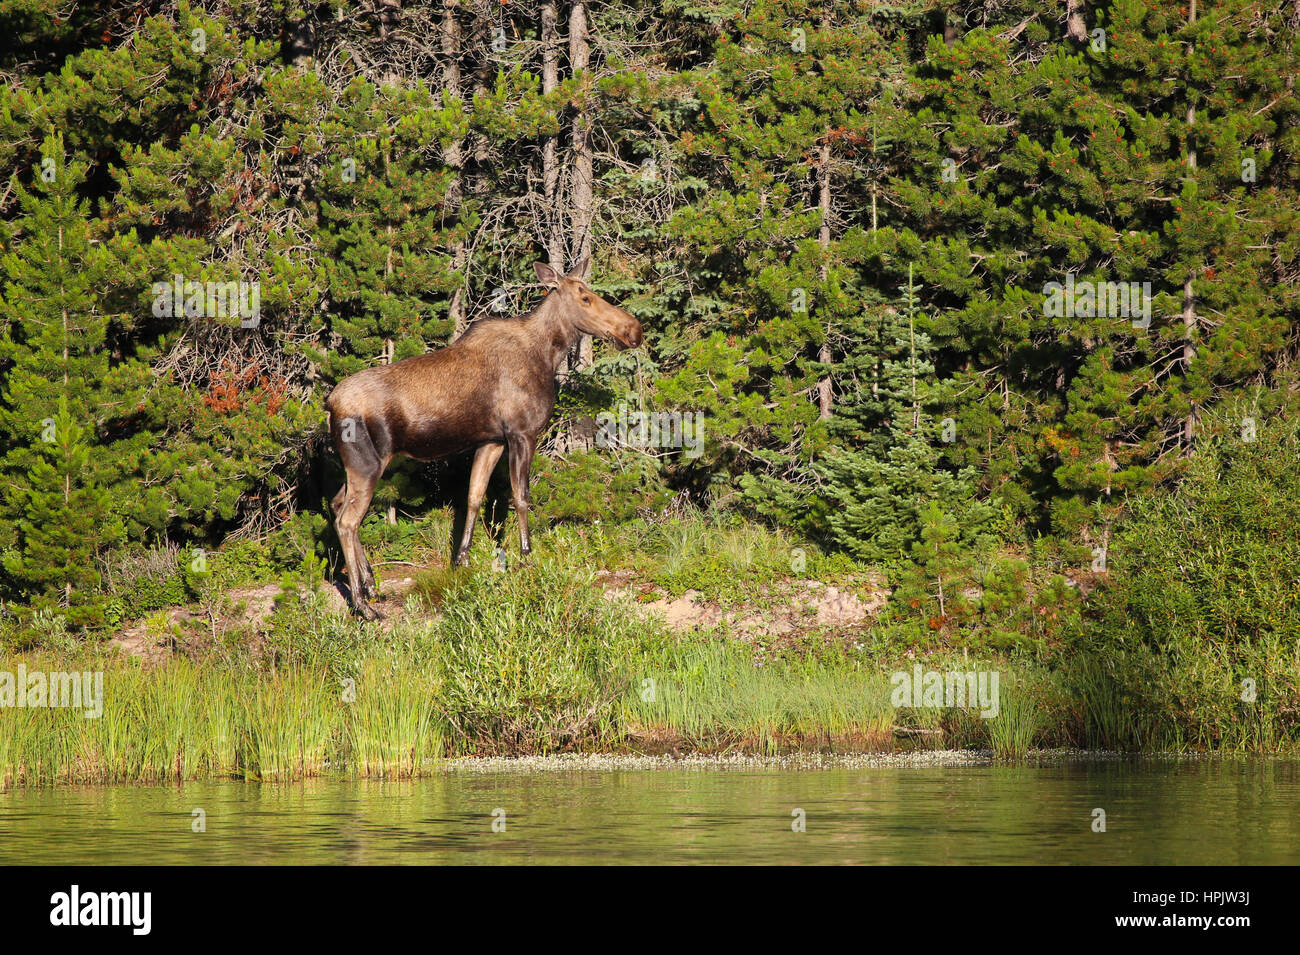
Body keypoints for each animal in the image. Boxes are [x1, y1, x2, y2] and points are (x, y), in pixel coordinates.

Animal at [324, 258, 643, 619]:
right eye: (585, 297)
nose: (634, 330)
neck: (549, 352)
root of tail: (330, 405)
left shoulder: (492, 440)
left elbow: (474, 495)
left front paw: (461, 560)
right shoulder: (522, 433)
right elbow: (520, 497)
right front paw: (526, 557)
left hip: (358, 465)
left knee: (336, 505)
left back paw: (371, 584)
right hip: (366, 463)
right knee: (348, 521)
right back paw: (363, 605)